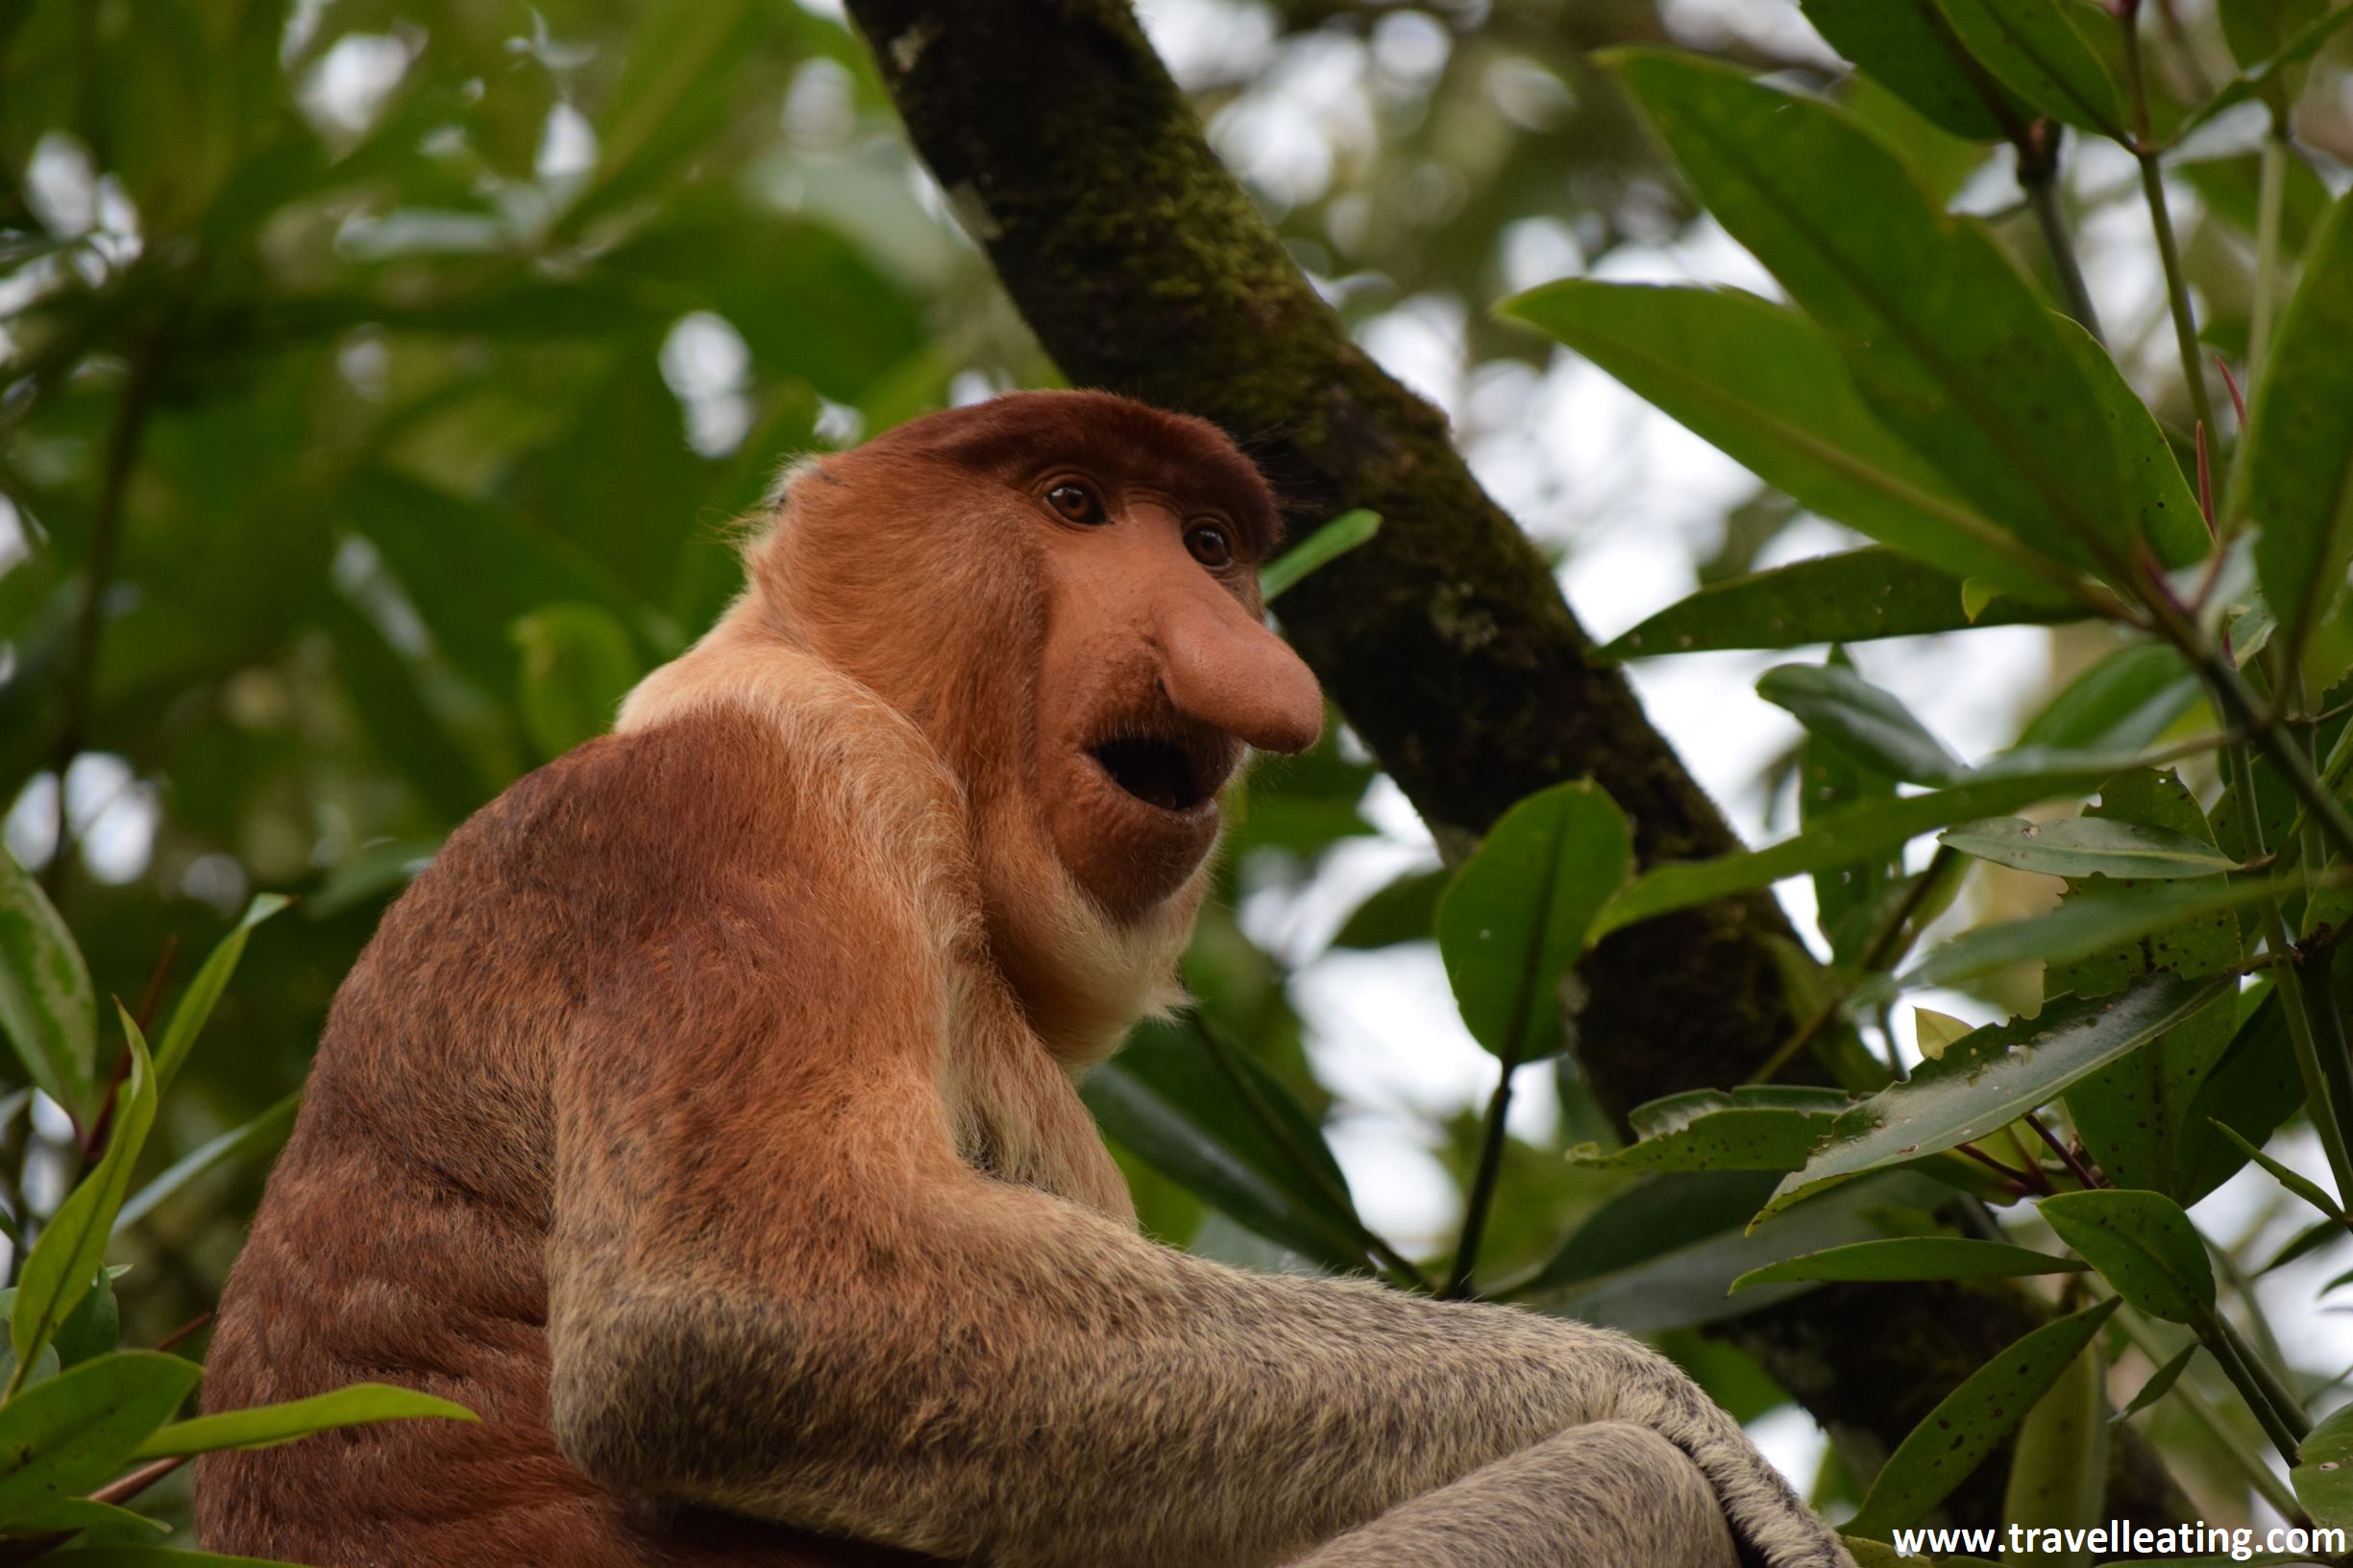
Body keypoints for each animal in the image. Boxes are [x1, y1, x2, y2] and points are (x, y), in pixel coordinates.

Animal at [195, 390, 1852, 1568]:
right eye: (1072, 505)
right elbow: (722, 1303)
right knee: (1622, 1490)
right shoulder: (770, 797)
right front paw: (1696, 1433)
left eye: (1207, 545)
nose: (1246, 659)